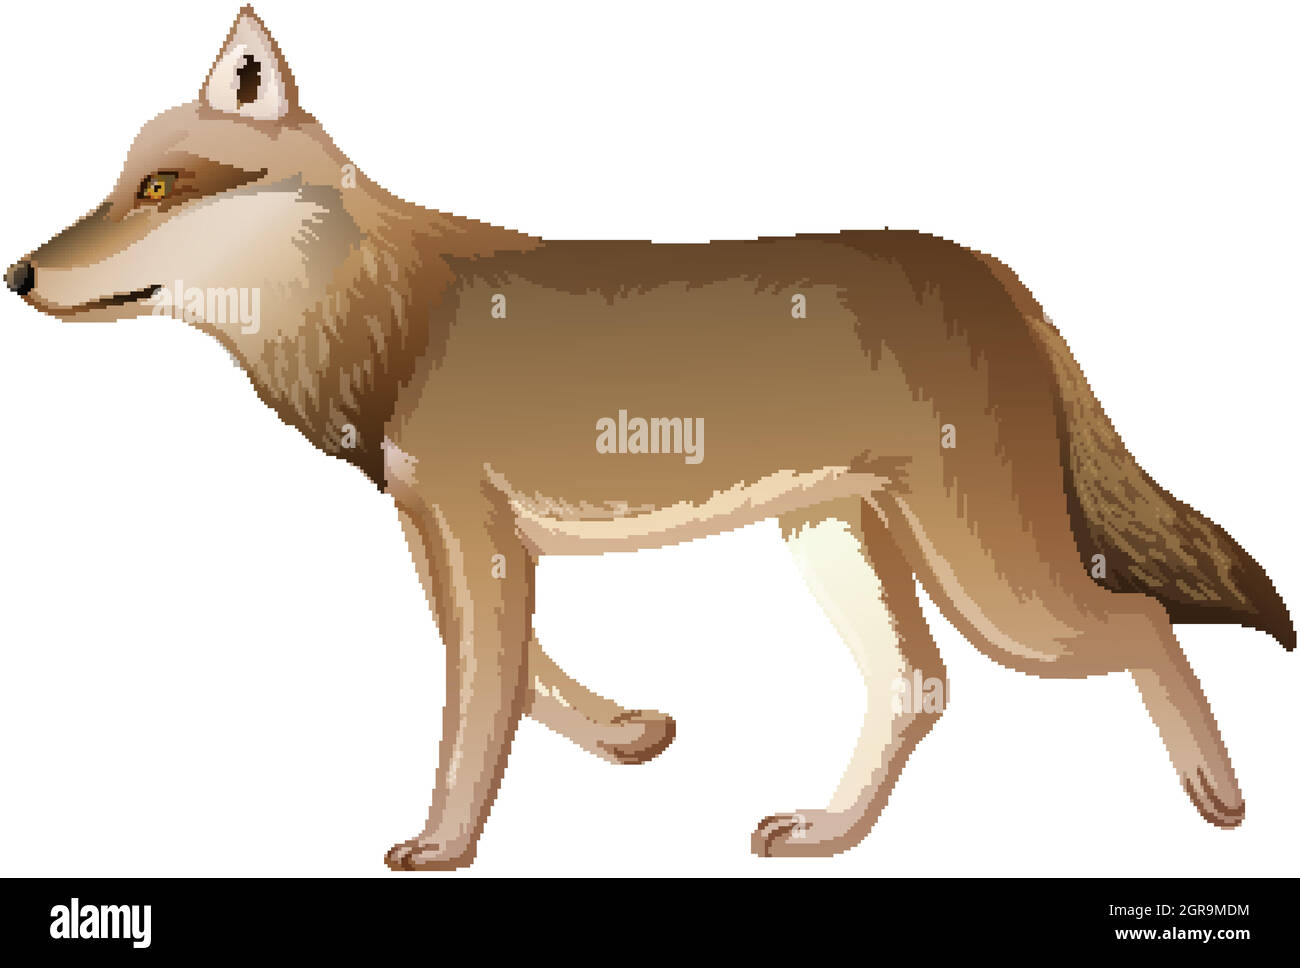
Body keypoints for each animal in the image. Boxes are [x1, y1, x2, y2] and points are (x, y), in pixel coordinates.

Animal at [6, 7, 1292, 870]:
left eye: (160, 186)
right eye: (116, 185)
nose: (17, 273)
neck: (386, 316)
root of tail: (986, 267)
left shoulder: (473, 539)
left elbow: (478, 710)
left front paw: (445, 842)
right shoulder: (440, 537)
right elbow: (524, 684)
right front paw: (632, 734)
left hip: (993, 585)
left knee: (1138, 622)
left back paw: (1218, 800)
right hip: (835, 543)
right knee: (921, 686)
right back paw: (828, 831)